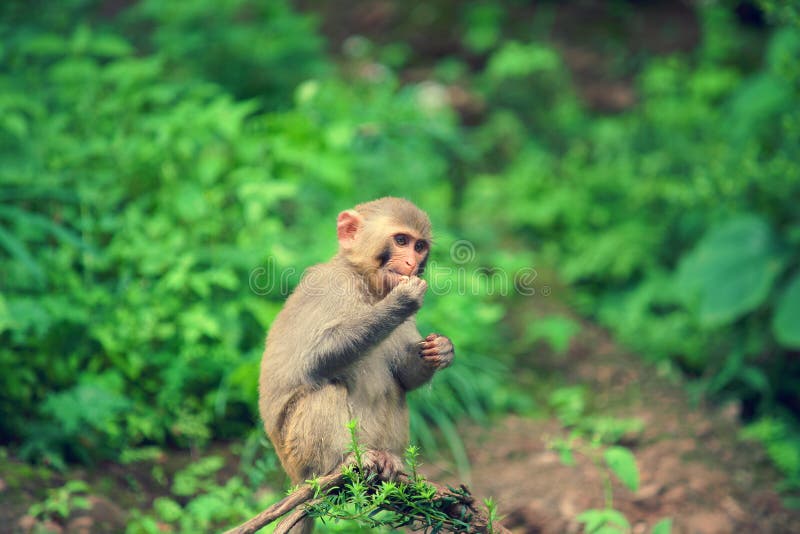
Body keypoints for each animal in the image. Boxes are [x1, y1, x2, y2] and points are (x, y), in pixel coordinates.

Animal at [258, 197, 454, 530]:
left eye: (419, 246)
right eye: (401, 241)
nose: (411, 263)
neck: (367, 285)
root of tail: (295, 479)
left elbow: (405, 376)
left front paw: (441, 349)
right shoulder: (329, 288)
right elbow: (316, 358)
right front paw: (401, 301)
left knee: (395, 389)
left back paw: (389, 459)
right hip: (297, 455)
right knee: (325, 391)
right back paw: (342, 463)